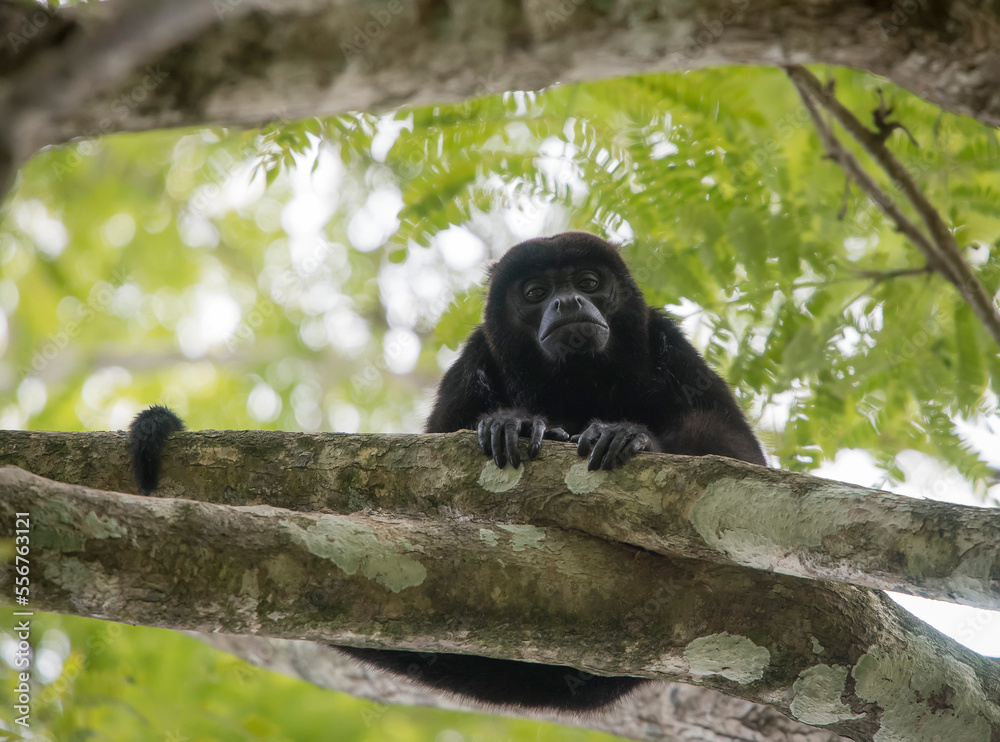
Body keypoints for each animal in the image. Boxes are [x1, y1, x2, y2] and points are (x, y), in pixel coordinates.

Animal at [129, 231, 765, 711]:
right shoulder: (474, 357)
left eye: (588, 283)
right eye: (536, 292)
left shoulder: (668, 339)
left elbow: (739, 459)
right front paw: (510, 424)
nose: (566, 305)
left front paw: (627, 434)